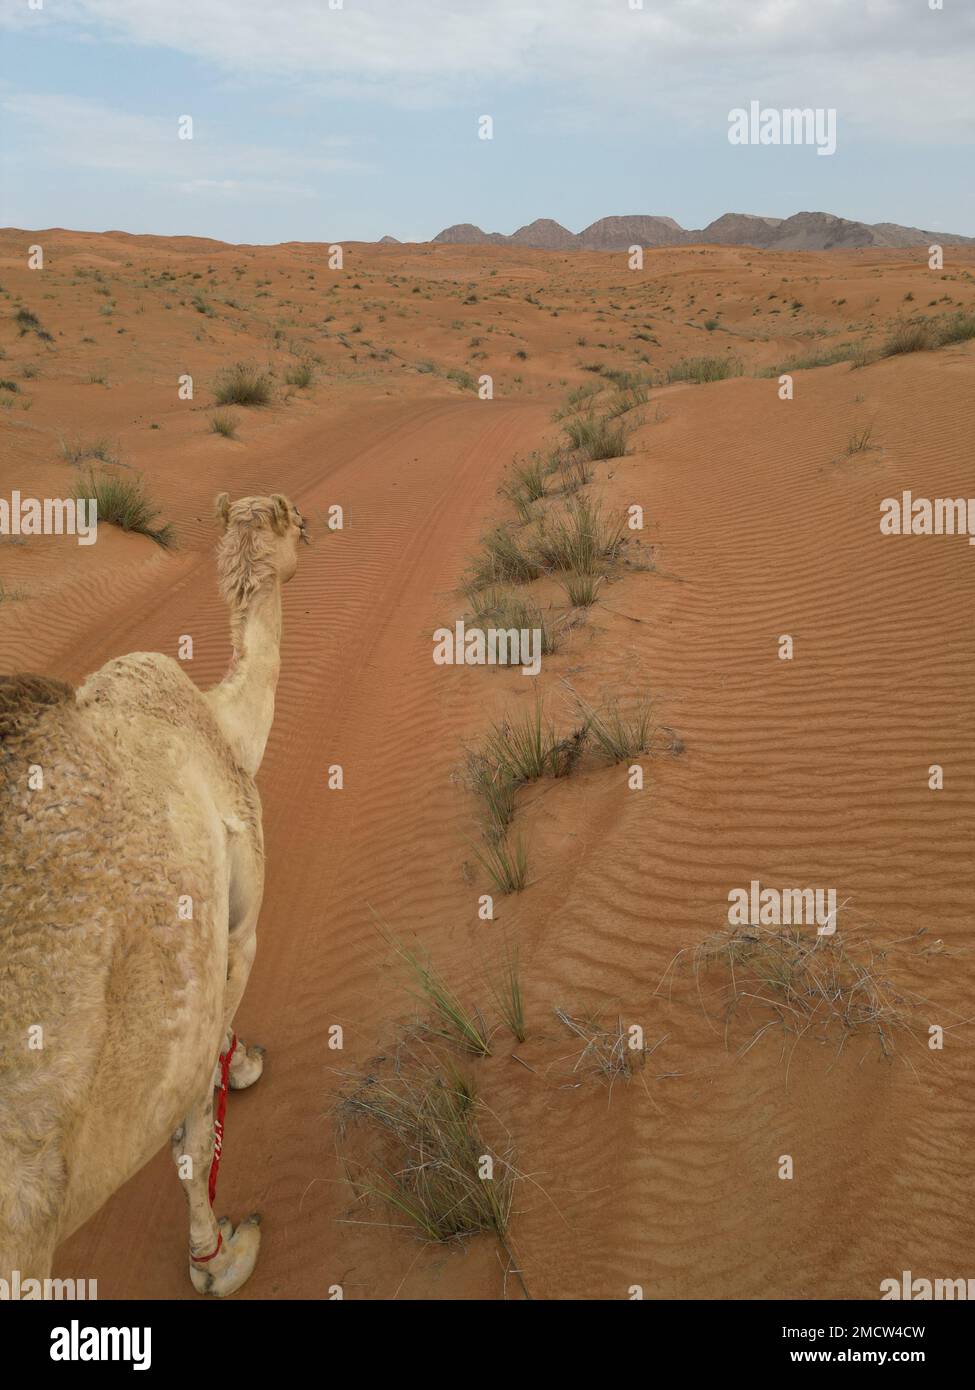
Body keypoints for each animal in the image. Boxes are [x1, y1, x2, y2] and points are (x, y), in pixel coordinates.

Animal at [0, 492, 307, 1297]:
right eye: (294, 520)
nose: (321, 527)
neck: (223, 724)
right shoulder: (240, 921)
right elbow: (196, 1135)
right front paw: (217, 1255)